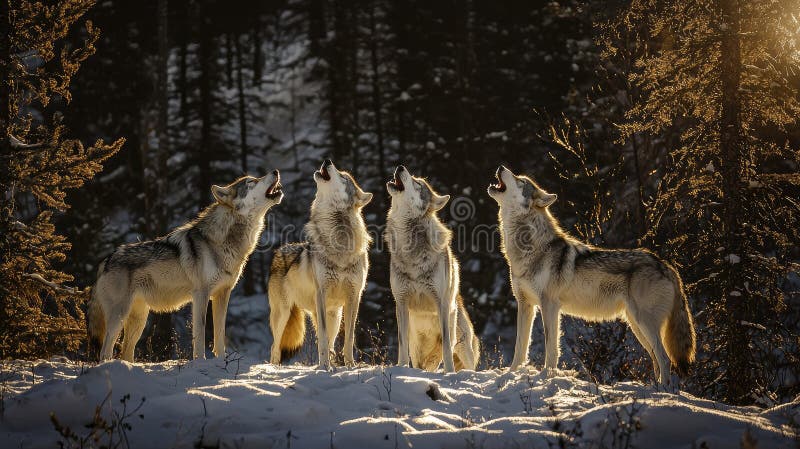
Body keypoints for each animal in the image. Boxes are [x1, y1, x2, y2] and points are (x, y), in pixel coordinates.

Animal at [87, 171, 284, 362]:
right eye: (251, 182)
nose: (275, 171)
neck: (222, 241)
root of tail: (106, 261)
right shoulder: (201, 295)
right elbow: (200, 333)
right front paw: (200, 361)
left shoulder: (222, 294)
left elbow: (220, 333)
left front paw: (221, 360)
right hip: (119, 317)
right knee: (105, 351)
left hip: (138, 320)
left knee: (125, 352)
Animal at [268, 160, 373, 370]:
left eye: (344, 177)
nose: (327, 161)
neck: (339, 243)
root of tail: (279, 250)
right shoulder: (321, 294)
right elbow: (322, 339)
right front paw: (325, 368)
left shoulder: (354, 297)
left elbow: (349, 339)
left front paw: (349, 366)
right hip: (283, 314)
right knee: (275, 347)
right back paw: (276, 368)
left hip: (334, 316)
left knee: (331, 343)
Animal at [385, 165, 480, 372]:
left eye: (418, 183)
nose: (400, 167)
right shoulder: (401, 303)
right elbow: (401, 343)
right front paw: (401, 368)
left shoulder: (441, 303)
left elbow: (446, 345)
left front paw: (449, 373)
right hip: (418, 350)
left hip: (462, 346)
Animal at [488, 165, 695, 384]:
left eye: (520, 181)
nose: (501, 167)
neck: (528, 248)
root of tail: (666, 265)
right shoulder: (525, 304)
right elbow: (520, 347)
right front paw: (510, 375)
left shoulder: (549, 305)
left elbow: (551, 348)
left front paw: (545, 377)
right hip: (637, 325)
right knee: (656, 359)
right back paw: (654, 389)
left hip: (644, 323)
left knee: (665, 360)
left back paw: (663, 390)